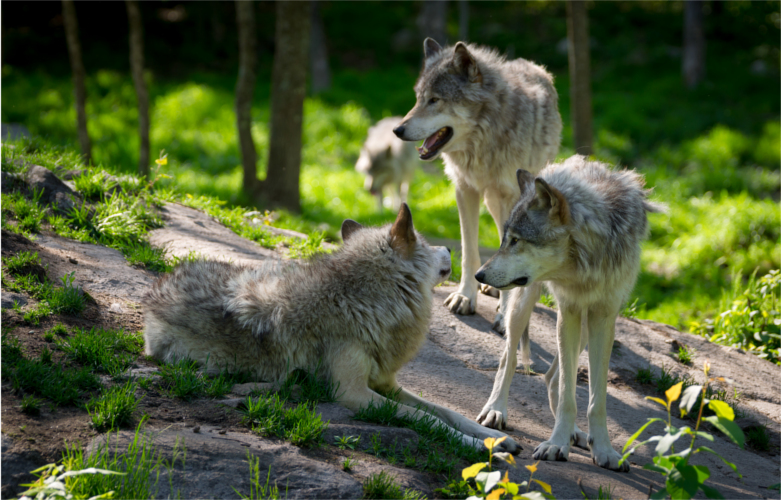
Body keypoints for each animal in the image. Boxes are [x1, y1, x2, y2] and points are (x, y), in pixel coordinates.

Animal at [143, 204, 519, 454]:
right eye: (425, 242)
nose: (449, 247)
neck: (362, 300)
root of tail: (156, 288)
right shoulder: (354, 394)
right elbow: (429, 420)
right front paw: (484, 448)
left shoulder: (387, 384)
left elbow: (449, 412)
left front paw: (498, 438)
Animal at [394, 38, 562, 333]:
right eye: (418, 98)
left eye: (435, 100)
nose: (397, 130)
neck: (483, 143)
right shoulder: (465, 190)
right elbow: (469, 251)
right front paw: (465, 296)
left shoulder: (509, 198)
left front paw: (504, 314)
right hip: (491, 202)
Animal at [473, 156, 664, 471]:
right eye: (505, 240)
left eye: (516, 240)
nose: (479, 274)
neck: (586, 259)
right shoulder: (569, 309)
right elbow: (567, 395)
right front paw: (555, 444)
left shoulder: (603, 315)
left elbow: (596, 399)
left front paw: (604, 450)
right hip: (524, 305)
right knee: (508, 359)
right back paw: (495, 410)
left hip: (585, 326)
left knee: (552, 377)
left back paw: (577, 434)